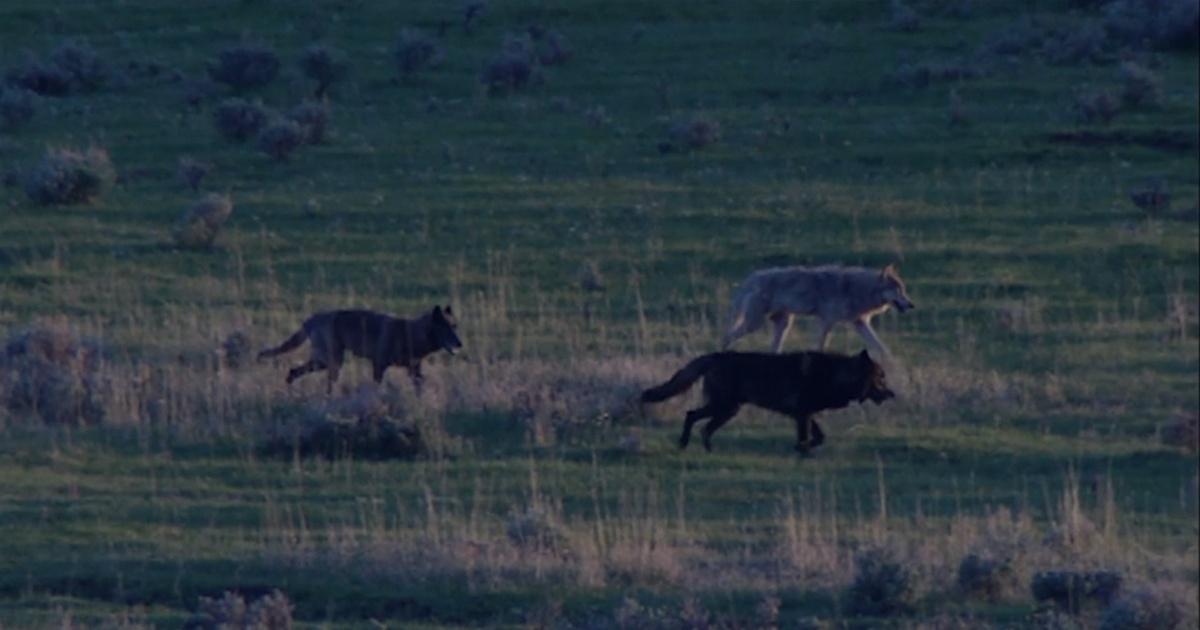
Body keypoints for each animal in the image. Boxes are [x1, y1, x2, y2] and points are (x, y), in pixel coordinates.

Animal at [257, 306, 462, 393]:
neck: (411, 334)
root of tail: (310, 320)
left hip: (324, 362)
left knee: (293, 371)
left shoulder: (414, 371)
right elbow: (377, 387)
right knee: (315, 379)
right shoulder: (378, 365)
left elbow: (421, 385)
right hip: (332, 362)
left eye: (455, 326)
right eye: (446, 328)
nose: (460, 344)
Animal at [641, 350, 894, 453]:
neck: (834, 375)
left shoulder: (805, 415)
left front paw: (802, 449)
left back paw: (706, 450)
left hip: (728, 410)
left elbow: (819, 437)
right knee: (692, 416)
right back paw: (685, 444)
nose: (892, 394)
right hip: (724, 407)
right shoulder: (802, 416)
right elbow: (805, 439)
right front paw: (802, 453)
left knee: (703, 427)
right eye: (881, 379)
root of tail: (715, 356)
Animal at [722, 264, 914, 358]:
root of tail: (751, 278)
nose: (911, 305)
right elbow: (820, 346)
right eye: (898, 290)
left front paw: (894, 368)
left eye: (904, 290)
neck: (859, 289)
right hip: (754, 324)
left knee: (773, 350)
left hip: (784, 324)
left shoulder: (859, 323)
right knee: (727, 337)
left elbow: (882, 348)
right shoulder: (827, 321)